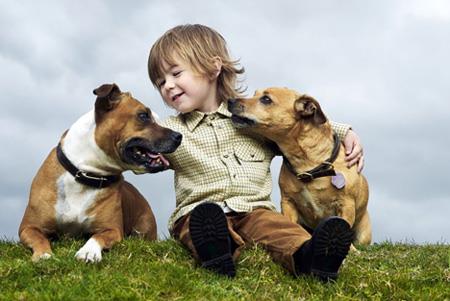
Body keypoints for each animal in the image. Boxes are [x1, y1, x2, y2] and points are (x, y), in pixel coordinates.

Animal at [19, 83, 181, 262]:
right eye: (143, 116)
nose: (179, 136)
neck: (86, 174)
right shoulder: (28, 227)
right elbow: (39, 237)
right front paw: (44, 255)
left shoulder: (112, 229)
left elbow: (97, 237)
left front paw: (88, 251)